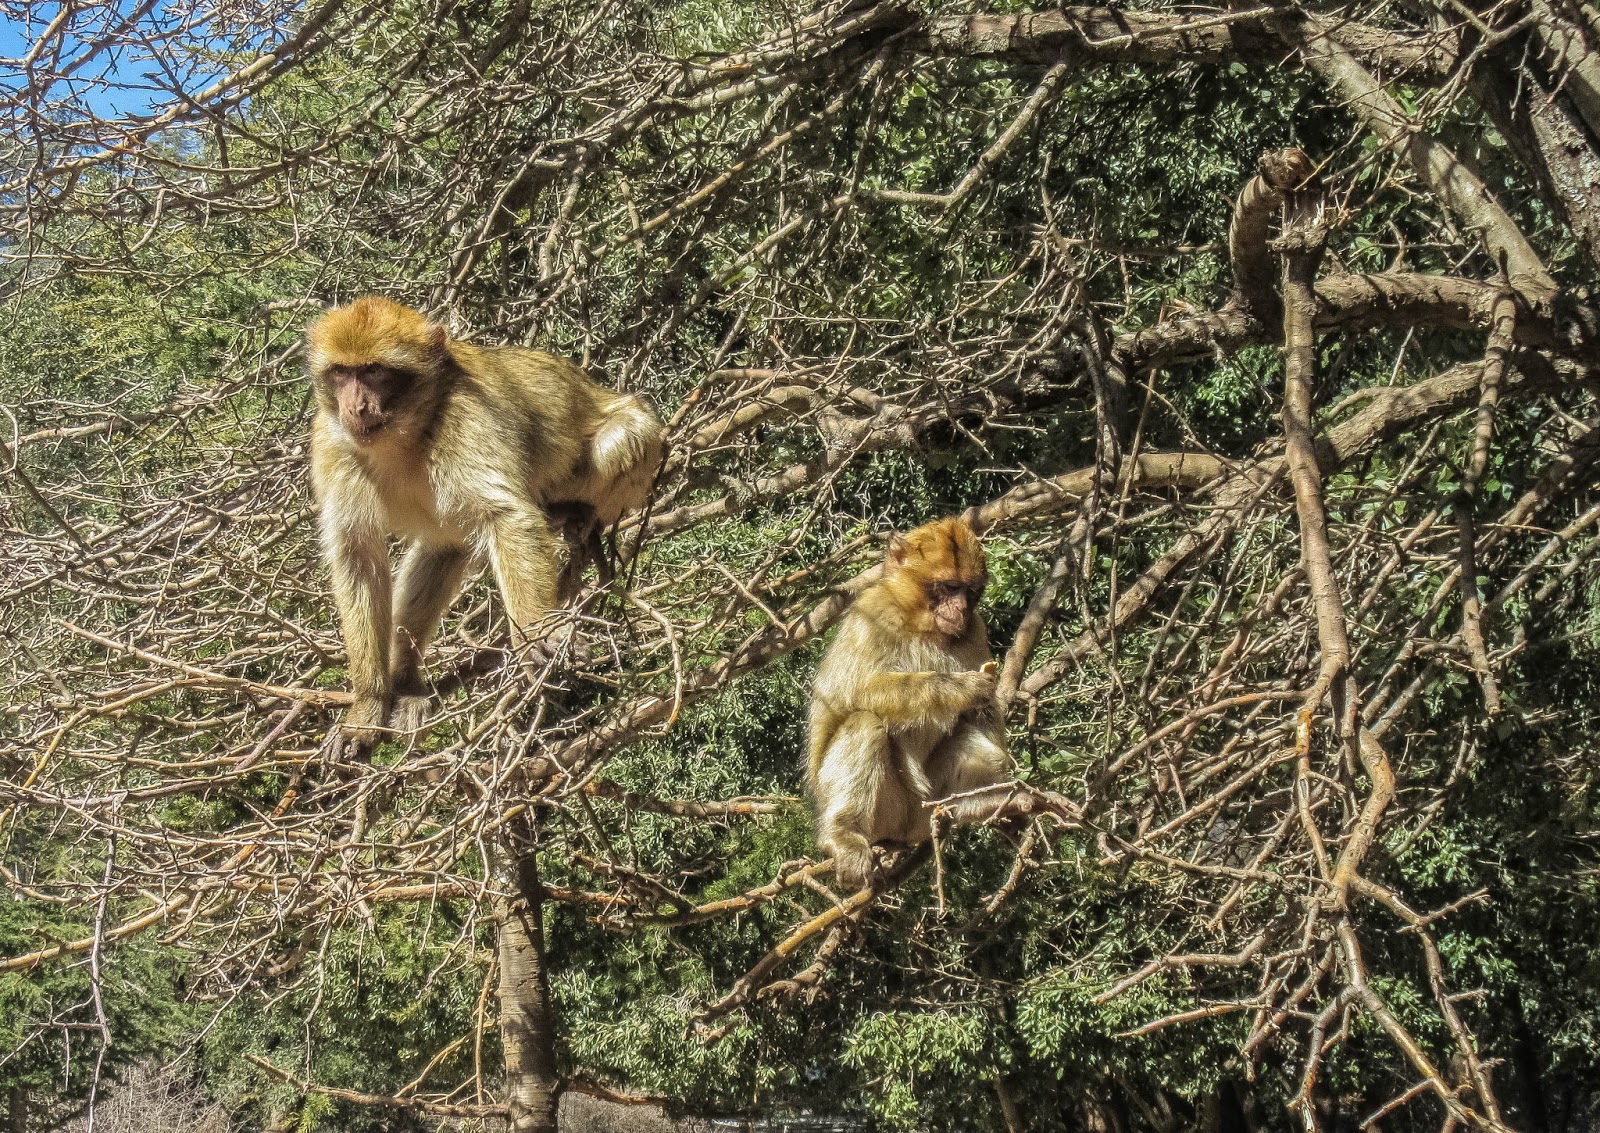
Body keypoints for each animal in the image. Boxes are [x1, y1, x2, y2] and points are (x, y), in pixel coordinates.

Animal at [306, 296, 664, 754]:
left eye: (375, 372)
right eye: (341, 372)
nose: (356, 407)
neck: (405, 437)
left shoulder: (466, 418)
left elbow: (507, 517)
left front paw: (536, 634)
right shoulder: (332, 443)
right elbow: (358, 556)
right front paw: (368, 705)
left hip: (636, 438)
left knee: (622, 440)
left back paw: (569, 512)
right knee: (442, 549)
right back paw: (406, 682)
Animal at [807, 517, 1012, 889]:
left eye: (970, 591)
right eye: (949, 587)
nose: (961, 609)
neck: (922, 626)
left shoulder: (975, 629)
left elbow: (986, 704)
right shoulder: (873, 611)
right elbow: (862, 691)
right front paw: (960, 687)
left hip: (927, 806)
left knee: (976, 722)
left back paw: (982, 799)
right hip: (888, 811)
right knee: (865, 721)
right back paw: (843, 832)